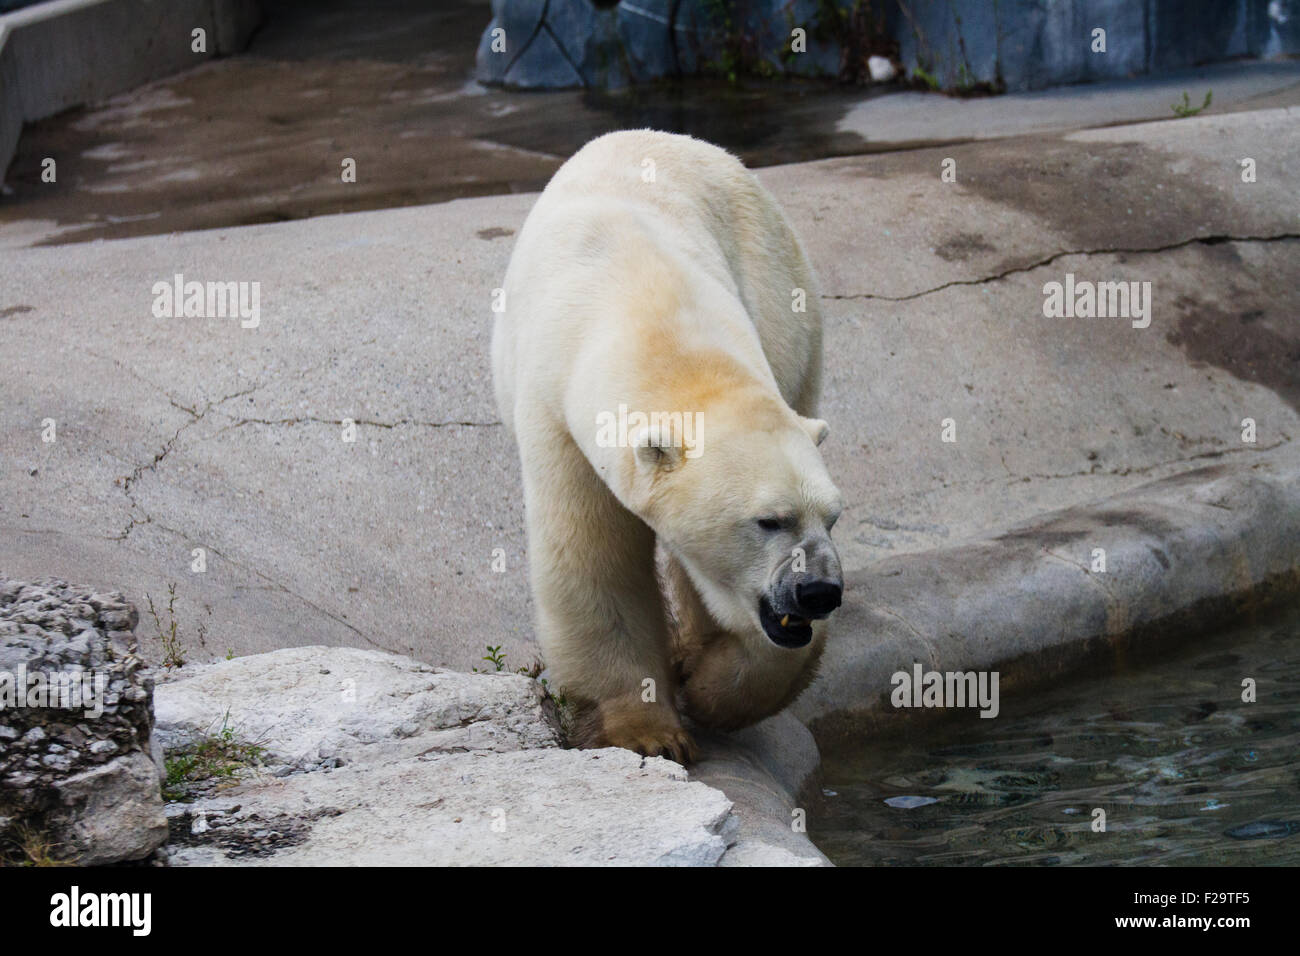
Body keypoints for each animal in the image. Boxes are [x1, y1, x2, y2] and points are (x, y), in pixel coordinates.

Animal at [491, 130, 844, 763]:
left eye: (832, 517)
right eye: (769, 520)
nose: (818, 591)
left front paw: (710, 693)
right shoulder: (558, 419)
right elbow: (596, 565)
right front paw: (650, 733)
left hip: (788, 305)